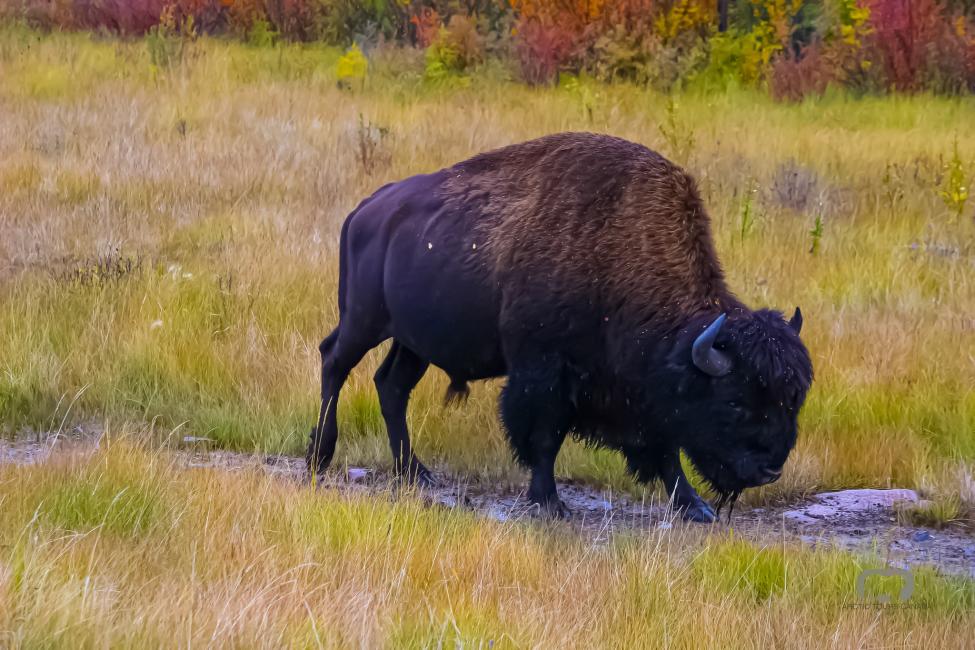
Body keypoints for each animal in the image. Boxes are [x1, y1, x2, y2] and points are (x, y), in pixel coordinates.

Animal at [308, 132, 813, 522]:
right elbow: (544, 437)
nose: (770, 469)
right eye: (734, 401)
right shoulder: (545, 373)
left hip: (413, 341)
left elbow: (666, 451)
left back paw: (415, 472)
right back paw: (320, 456)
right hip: (363, 320)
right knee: (334, 361)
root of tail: (367, 209)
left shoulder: (645, 396)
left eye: (792, 400)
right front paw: (549, 501)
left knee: (391, 385)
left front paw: (694, 506)